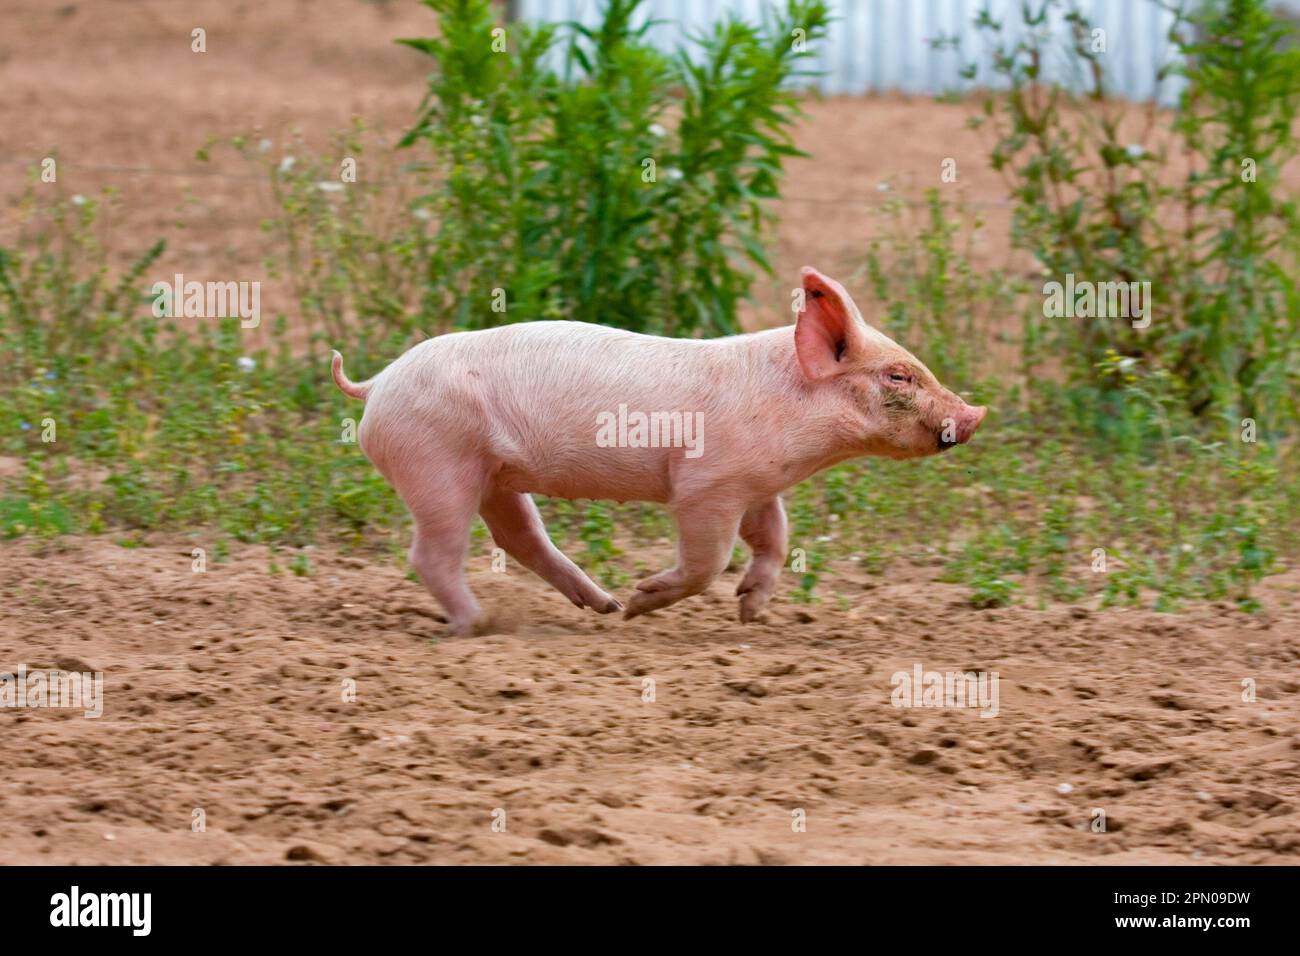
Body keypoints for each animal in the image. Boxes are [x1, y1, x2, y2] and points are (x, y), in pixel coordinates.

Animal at [332, 267, 985, 636]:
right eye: (898, 376)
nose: (973, 414)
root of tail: (376, 383)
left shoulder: (758, 484)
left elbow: (775, 538)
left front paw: (749, 613)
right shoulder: (707, 485)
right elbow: (708, 561)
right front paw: (645, 603)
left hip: (495, 476)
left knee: (520, 538)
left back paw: (601, 605)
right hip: (438, 465)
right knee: (433, 554)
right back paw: (485, 624)